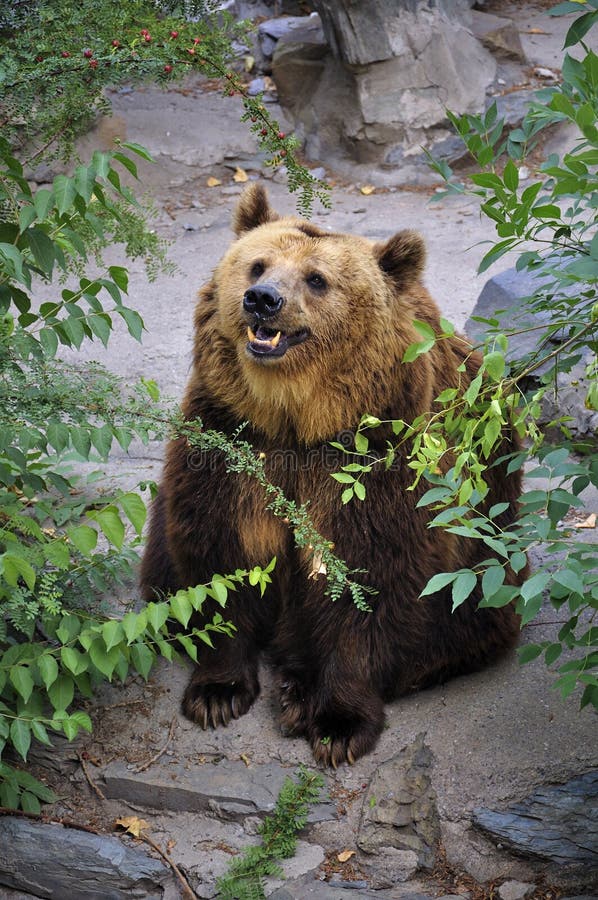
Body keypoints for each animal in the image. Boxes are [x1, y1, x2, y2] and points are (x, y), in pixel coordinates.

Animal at [140, 183, 525, 768]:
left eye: (317, 279)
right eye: (257, 265)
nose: (262, 299)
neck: (297, 418)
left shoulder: (375, 463)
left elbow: (367, 582)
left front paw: (338, 724)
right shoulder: (231, 439)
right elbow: (219, 553)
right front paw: (217, 692)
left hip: (484, 577)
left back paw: (299, 692)